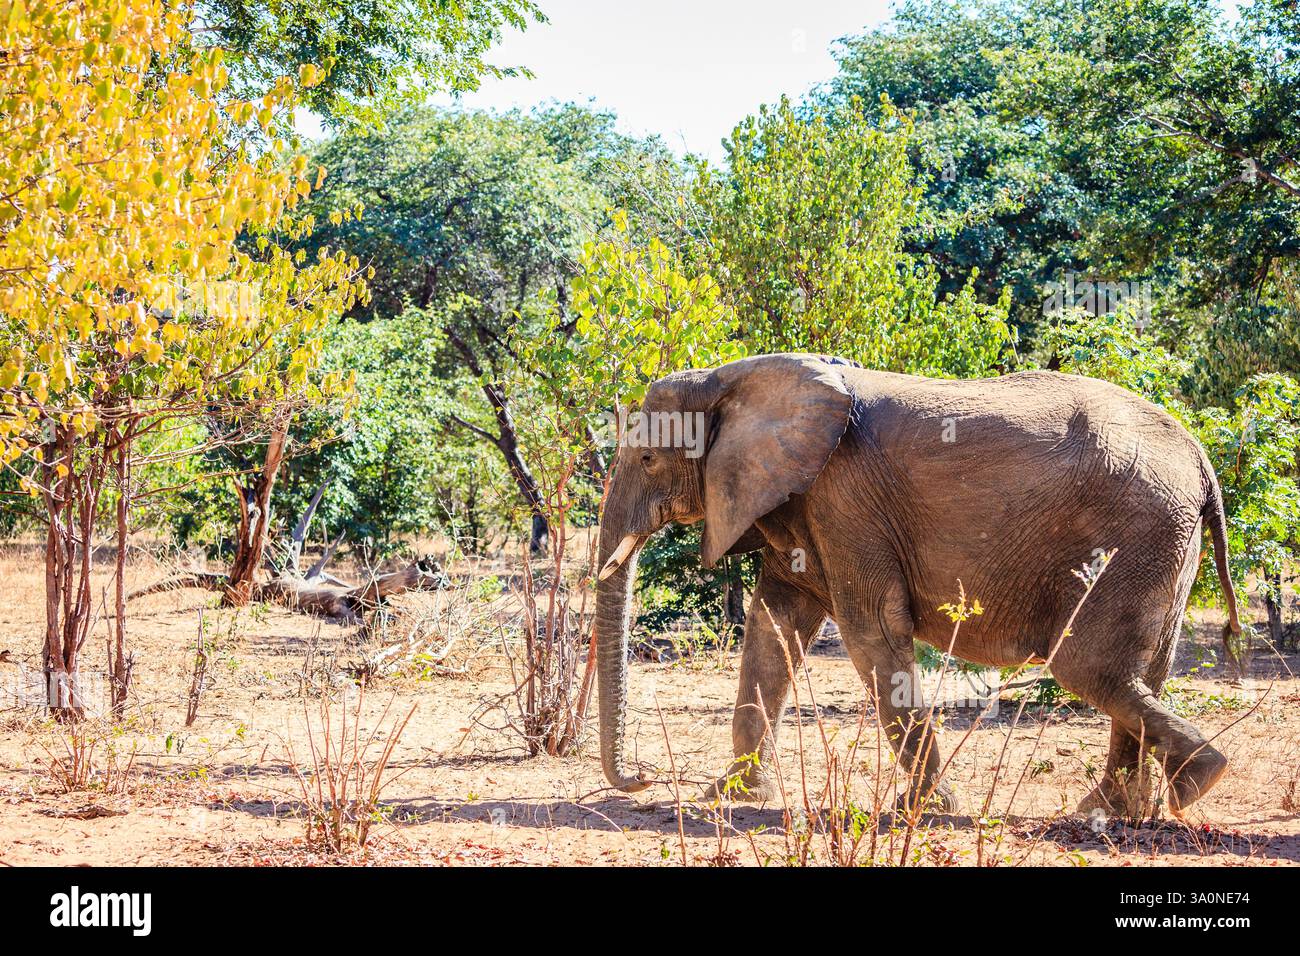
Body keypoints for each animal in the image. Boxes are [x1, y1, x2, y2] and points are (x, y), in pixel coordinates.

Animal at [592, 353, 1243, 819]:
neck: (731, 377)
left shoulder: (844, 500)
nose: (643, 776)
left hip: (1138, 534)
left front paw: (926, 808)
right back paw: (1115, 809)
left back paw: (1199, 781)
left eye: (648, 459)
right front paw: (733, 794)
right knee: (1141, 670)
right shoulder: (799, 503)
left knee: (1089, 667)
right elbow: (773, 627)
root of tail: (1202, 459)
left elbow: (870, 633)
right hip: (1166, 541)